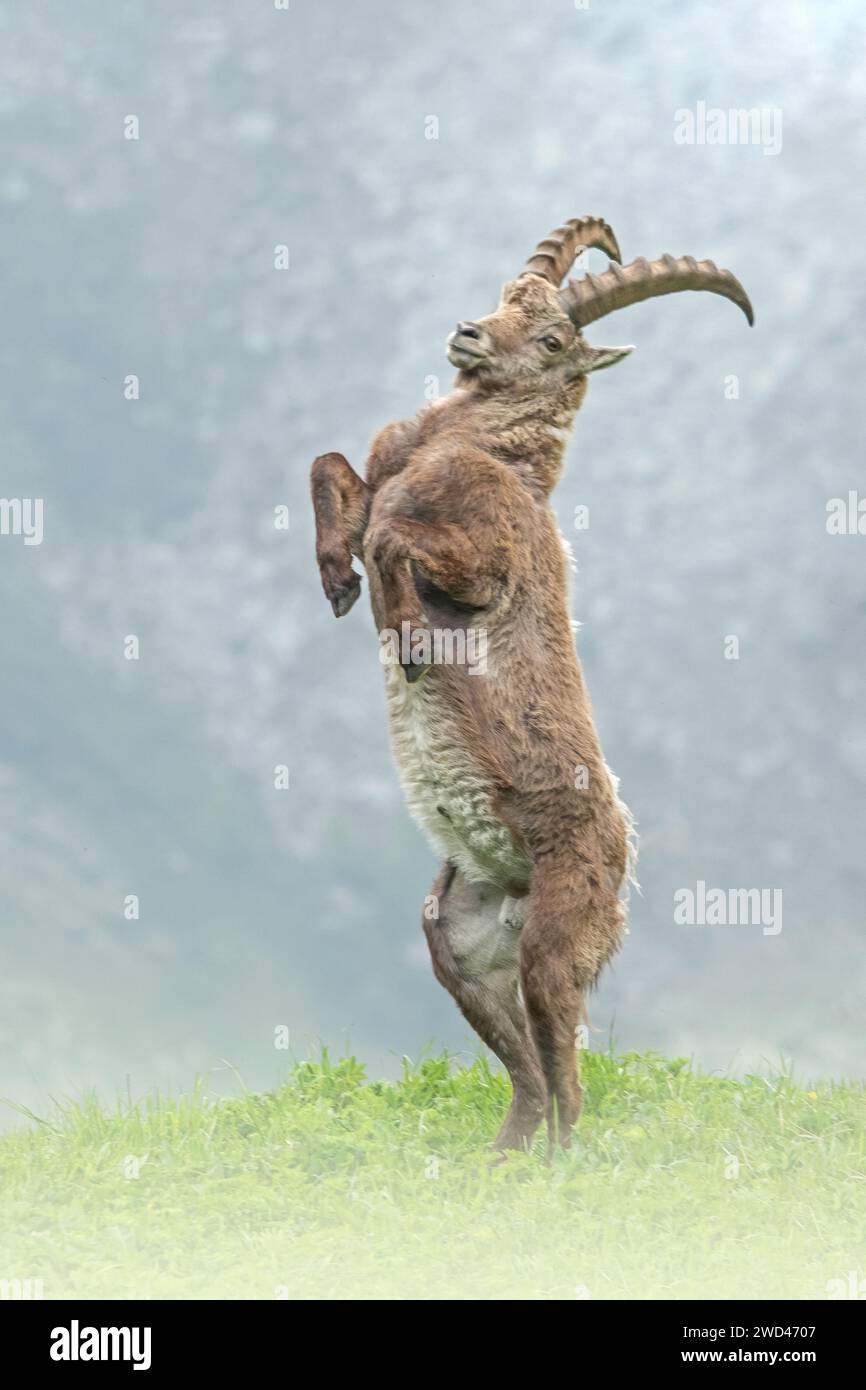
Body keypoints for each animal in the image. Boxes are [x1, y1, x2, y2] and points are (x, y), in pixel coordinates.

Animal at [310, 217, 753, 1153]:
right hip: (459, 946)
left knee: (568, 1081)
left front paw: (409, 639)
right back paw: (503, 1159)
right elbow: (333, 468)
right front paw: (336, 580)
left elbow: (398, 533)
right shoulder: (375, 478)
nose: (466, 333)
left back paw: (555, 1168)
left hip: (555, 944)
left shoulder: (485, 562)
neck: (482, 447)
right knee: (530, 1073)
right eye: (504, 298)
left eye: (552, 338)